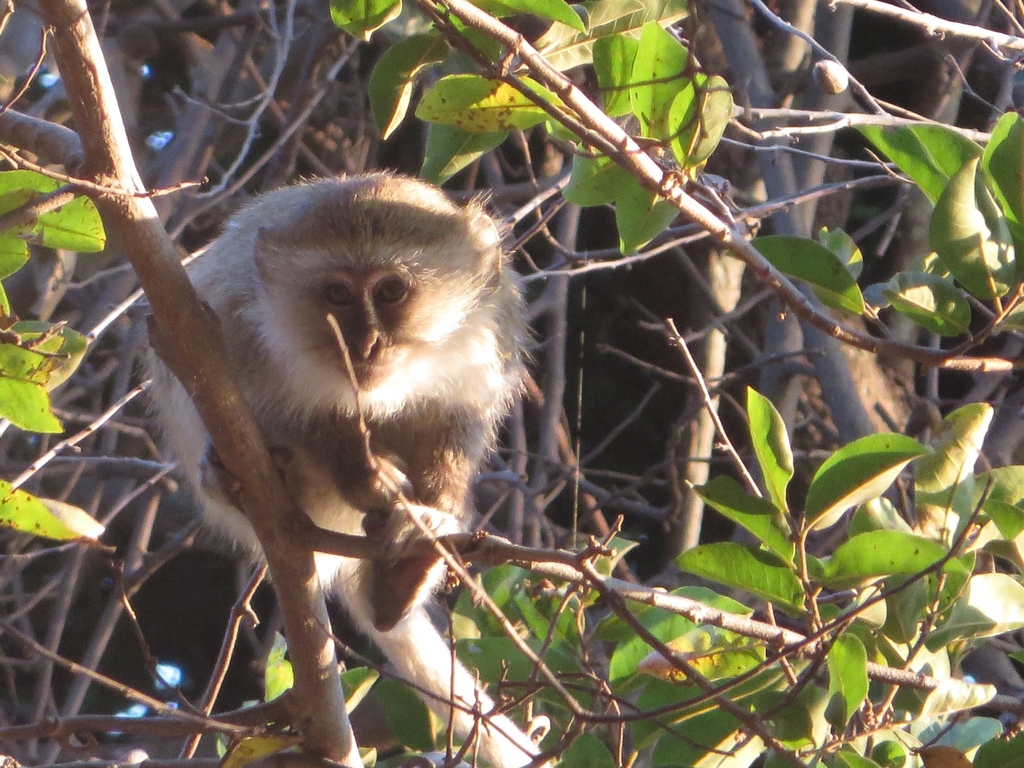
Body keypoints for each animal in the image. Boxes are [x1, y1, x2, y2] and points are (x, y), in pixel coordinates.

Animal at [148, 174, 542, 768]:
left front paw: (434, 514)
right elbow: (268, 404)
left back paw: (406, 568)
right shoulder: (232, 320)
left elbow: (457, 420)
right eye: (335, 295)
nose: (365, 343)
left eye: (391, 291)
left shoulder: (491, 328)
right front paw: (362, 474)